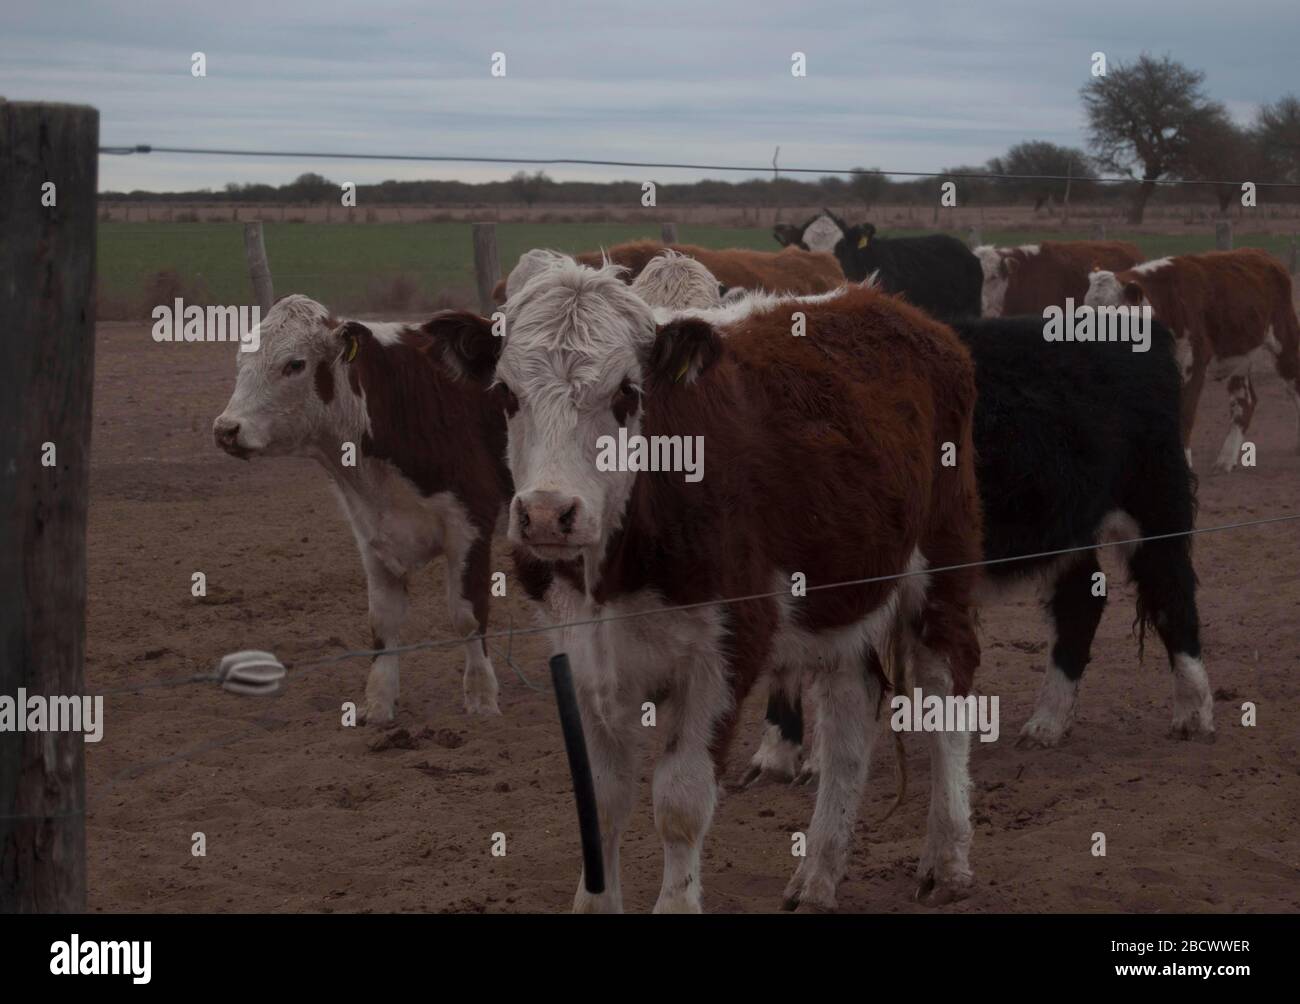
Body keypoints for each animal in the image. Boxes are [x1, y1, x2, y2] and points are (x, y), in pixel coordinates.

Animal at [212, 295, 511, 723]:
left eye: (295, 364)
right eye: (241, 361)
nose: (226, 430)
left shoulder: (470, 525)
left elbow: (467, 615)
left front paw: (482, 698)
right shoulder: (371, 532)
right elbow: (382, 621)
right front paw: (378, 704)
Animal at [433, 258, 984, 913]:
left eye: (627, 393)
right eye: (507, 394)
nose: (546, 513)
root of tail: (891, 305)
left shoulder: (725, 652)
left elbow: (680, 802)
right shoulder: (582, 653)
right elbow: (601, 801)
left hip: (943, 564)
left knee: (944, 690)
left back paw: (948, 859)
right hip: (842, 597)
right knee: (851, 712)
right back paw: (818, 875)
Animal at [747, 312, 1210, 782]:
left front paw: (820, 762)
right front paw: (776, 753)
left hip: (1154, 505)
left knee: (1172, 594)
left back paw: (1193, 713)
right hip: (1070, 527)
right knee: (1080, 604)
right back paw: (1047, 722)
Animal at [1086, 249, 1300, 472]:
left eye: (1113, 313)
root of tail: (1260, 254)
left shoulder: (1194, 362)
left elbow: (1185, 415)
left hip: (1284, 341)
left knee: (1294, 387)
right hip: (1239, 356)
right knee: (1244, 401)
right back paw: (1226, 458)